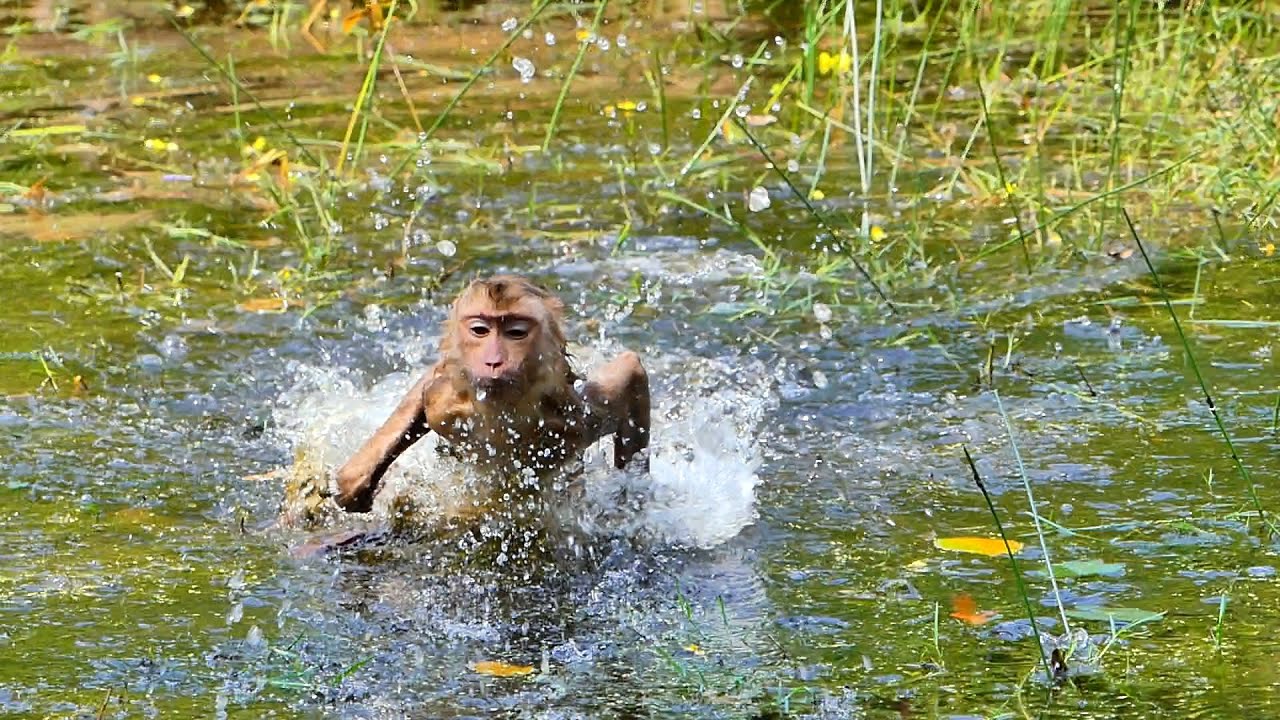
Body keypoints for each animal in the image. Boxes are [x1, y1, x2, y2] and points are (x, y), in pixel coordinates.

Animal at [332, 275, 650, 520]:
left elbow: (631, 372)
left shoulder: (575, 421)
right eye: (480, 330)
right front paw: (356, 481)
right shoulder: (441, 402)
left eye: (516, 332)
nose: (494, 361)